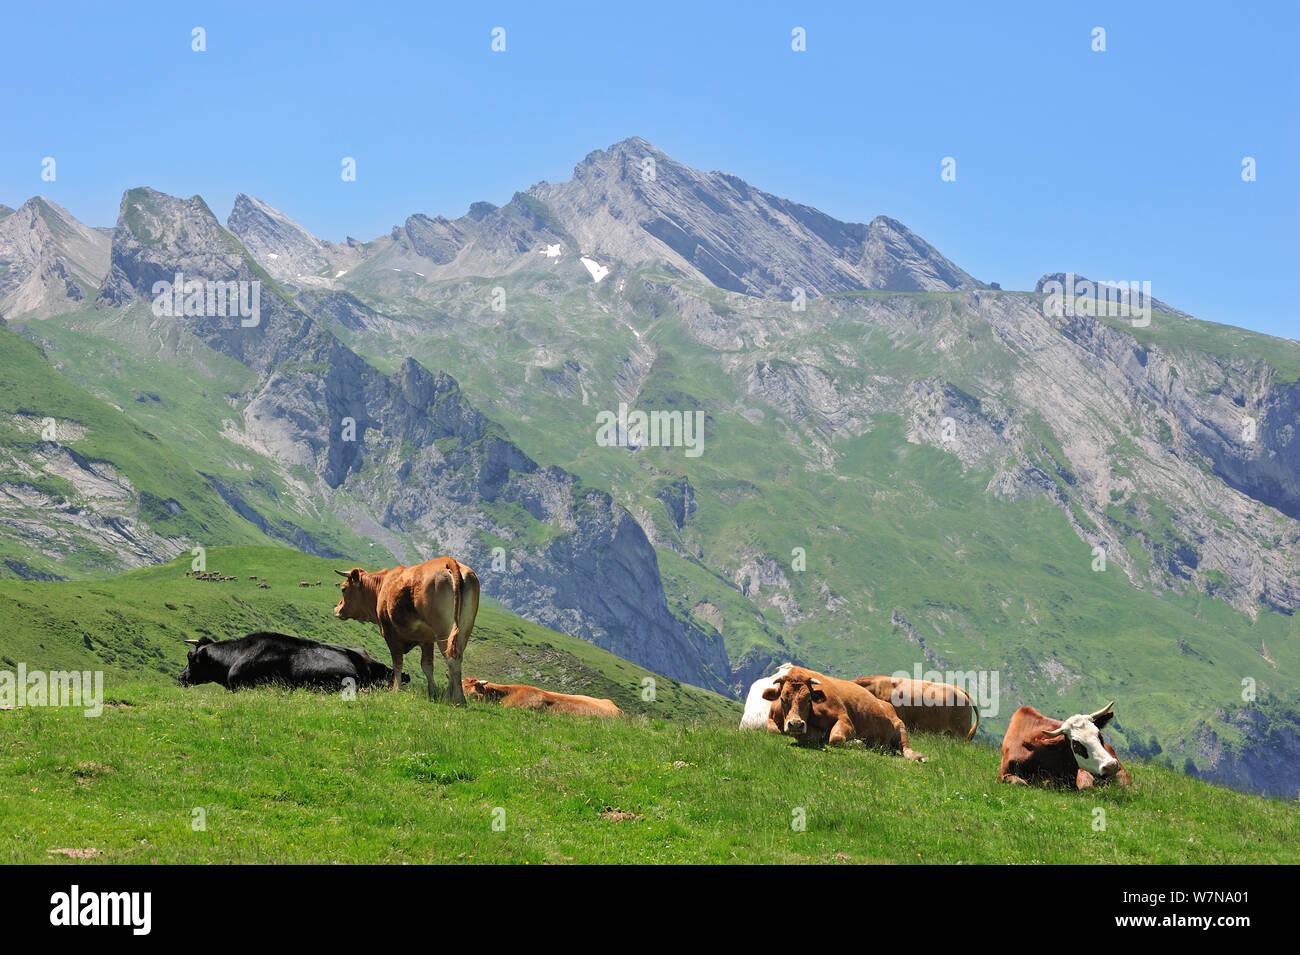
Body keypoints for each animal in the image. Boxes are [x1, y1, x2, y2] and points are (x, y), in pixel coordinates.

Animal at [334, 556, 480, 703]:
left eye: (343, 589)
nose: (336, 609)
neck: (382, 587)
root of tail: (449, 560)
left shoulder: (391, 634)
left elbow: (397, 663)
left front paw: (396, 689)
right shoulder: (426, 639)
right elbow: (427, 666)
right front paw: (433, 691)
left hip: (443, 631)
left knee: (451, 659)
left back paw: (458, 699)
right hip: (463, 631)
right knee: (456, 658)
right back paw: (449, 697)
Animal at [762, 666, 926, 761]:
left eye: (809, 699)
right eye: (782, 699)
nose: (796, 724)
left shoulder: (845, 720)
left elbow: (835, 738)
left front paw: (858, 743)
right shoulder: (772, 718)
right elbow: (772, 730)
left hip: (900, 726)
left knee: (905, 747)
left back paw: (917, 756)